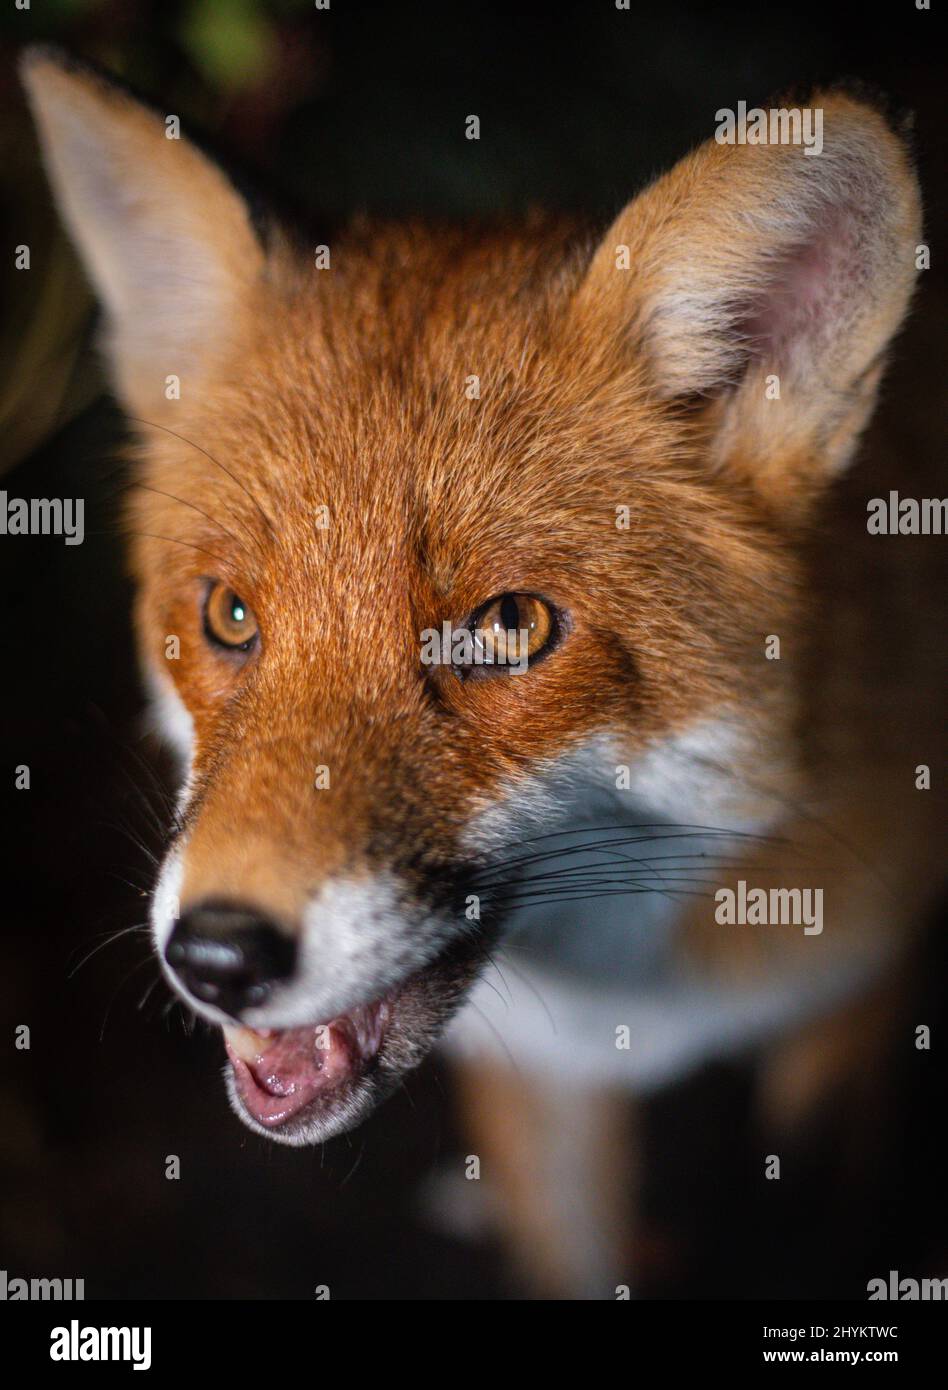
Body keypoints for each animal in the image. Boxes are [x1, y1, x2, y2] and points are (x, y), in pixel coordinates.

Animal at [21, 47, 945, 1297]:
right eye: (229, 614)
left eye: (506, 627)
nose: (216, 958)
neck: (640, 992)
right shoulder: (546, 1081)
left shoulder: (850, 999)